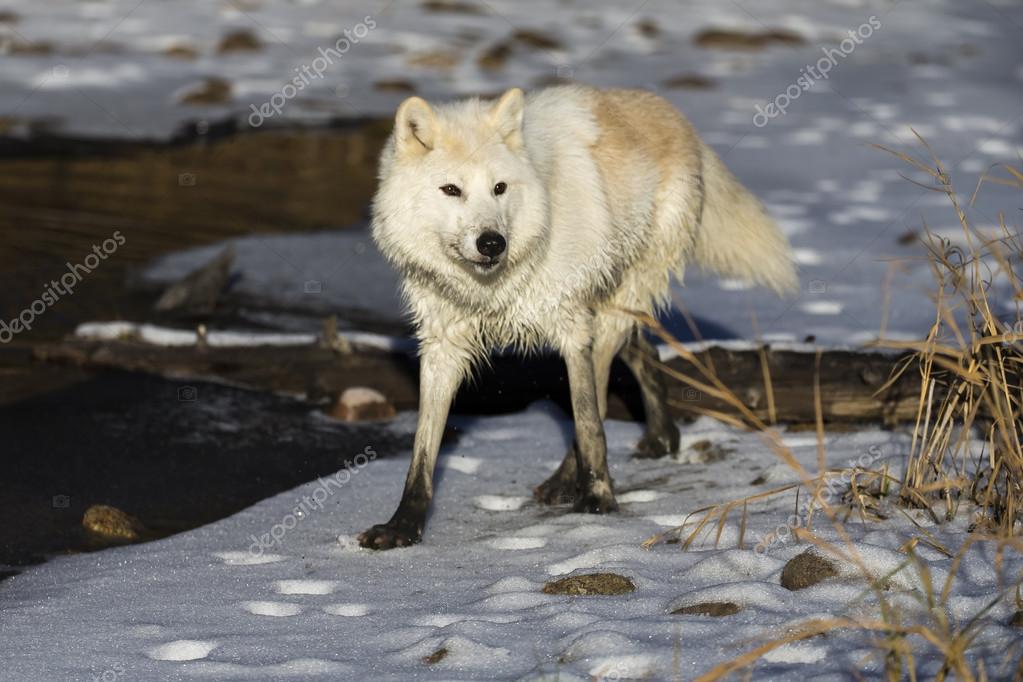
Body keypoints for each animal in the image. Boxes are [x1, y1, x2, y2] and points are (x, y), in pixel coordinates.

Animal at [359, 85, 796, 549]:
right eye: (451, 189)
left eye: (499, 188)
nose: (493, 243)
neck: (493, 286)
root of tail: (673, 114)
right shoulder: (442, 345)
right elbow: (423, 449)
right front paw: (402, 527)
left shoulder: (572, 328)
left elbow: (588, 421)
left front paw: (599, 500)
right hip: (610, 307)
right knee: (644, 350)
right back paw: (661, 439)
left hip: (607, 314)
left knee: (603, 394)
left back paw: (571, 481)